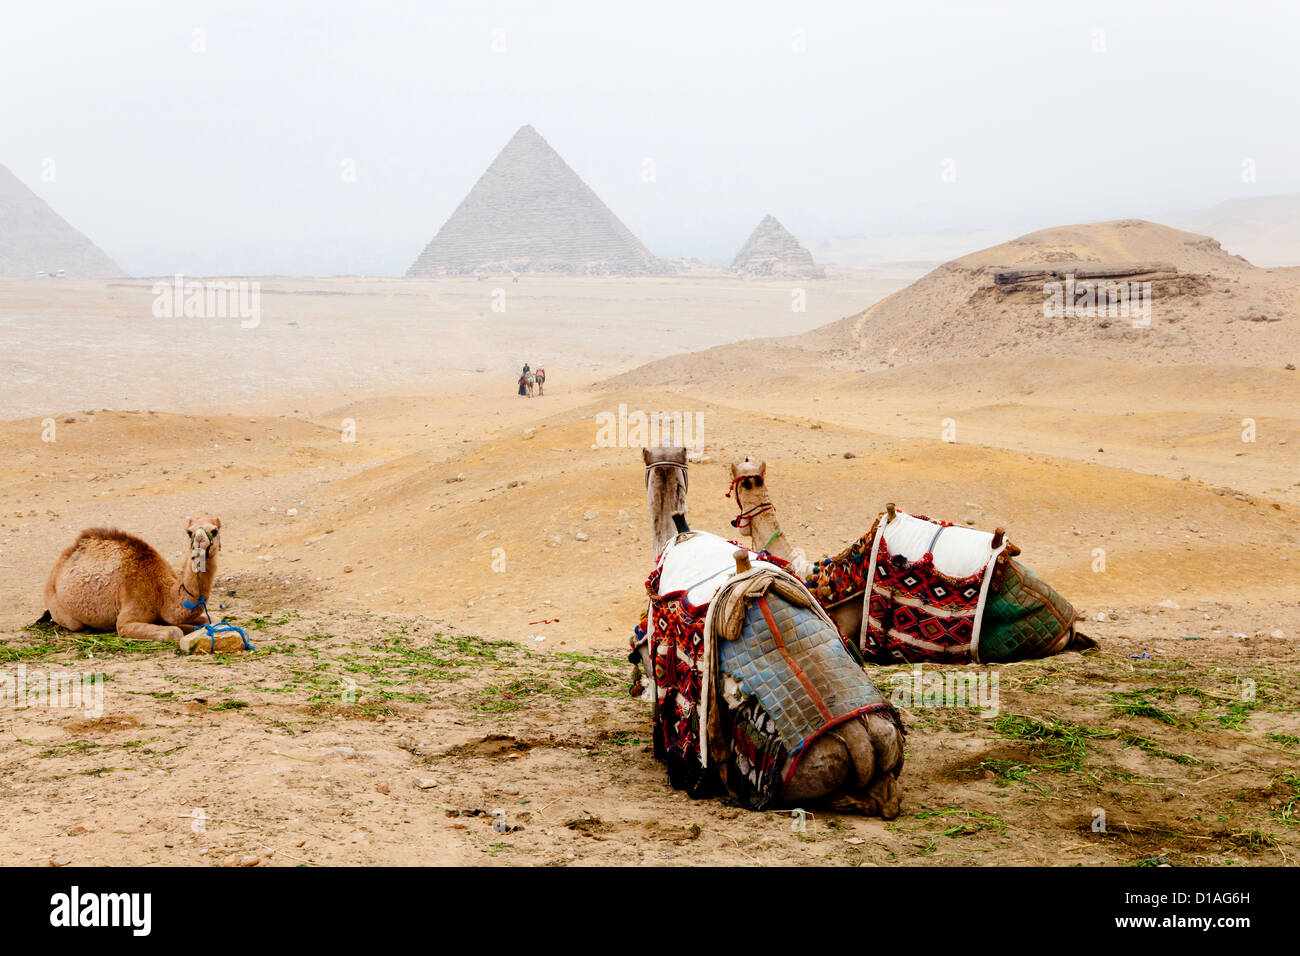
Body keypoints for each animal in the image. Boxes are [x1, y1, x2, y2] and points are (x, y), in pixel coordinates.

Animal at [41, 516, 241, 654]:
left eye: (214, 530)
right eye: (189, 532)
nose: (199, 541)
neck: (162, 593)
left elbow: (212, 618)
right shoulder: (127, 618)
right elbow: (173, 632)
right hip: (62, 612)